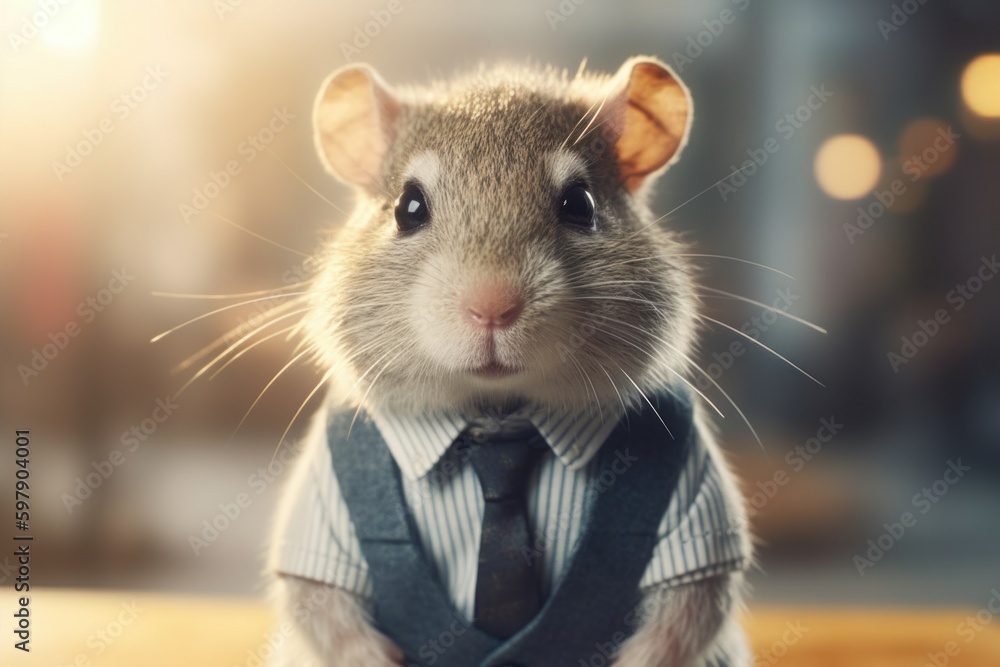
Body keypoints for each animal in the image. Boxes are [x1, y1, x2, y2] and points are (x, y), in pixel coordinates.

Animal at [267, 57, 752, 667]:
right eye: (408, 208)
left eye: (580, 205)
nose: (492, 305)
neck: (499, 417)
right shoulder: (322, 518)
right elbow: (322, 603)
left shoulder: (694, 508)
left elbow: (687, 609)